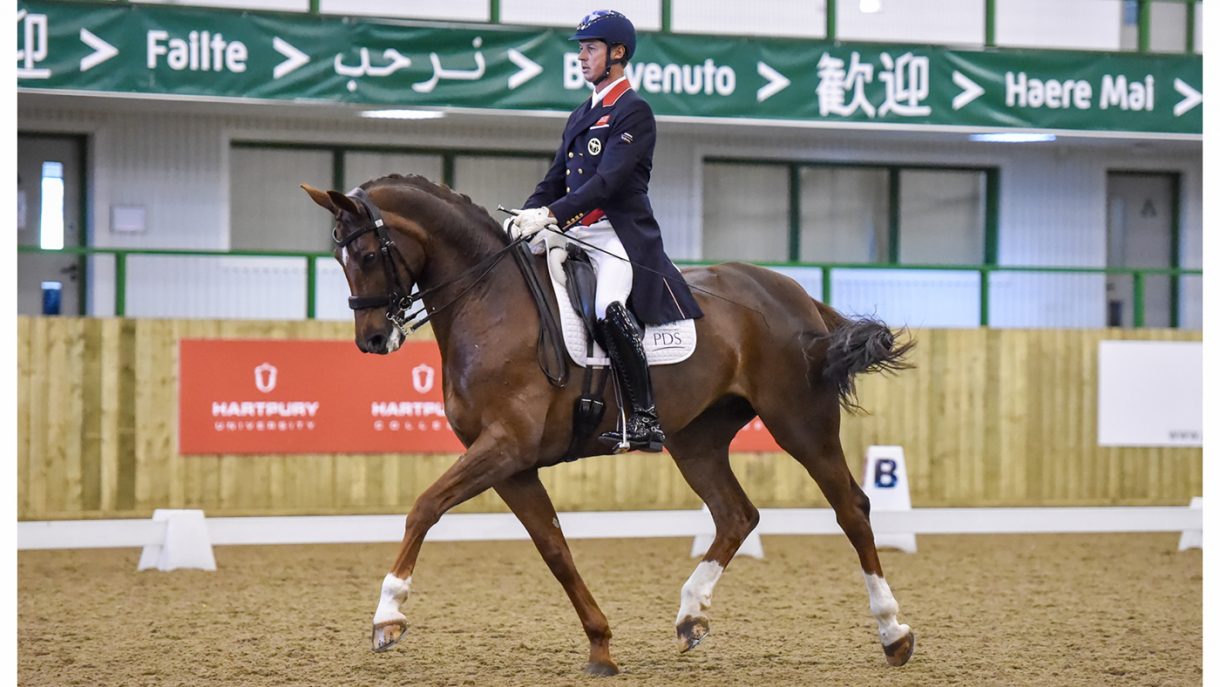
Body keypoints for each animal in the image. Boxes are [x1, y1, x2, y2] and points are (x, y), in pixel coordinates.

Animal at [301, 174, 916, 675]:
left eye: (366, 253)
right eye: (340, 257)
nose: (372, 339)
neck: (490, 302)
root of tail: (796, 294)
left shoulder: (504, 446)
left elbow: (424, 506)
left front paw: (387, 616)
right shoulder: (510, 464)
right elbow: (554, 548)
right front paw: (600, 646)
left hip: (800, 422)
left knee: (851, 508)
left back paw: (893, 632)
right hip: (697, 438)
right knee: (737, 514)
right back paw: (691, 615)